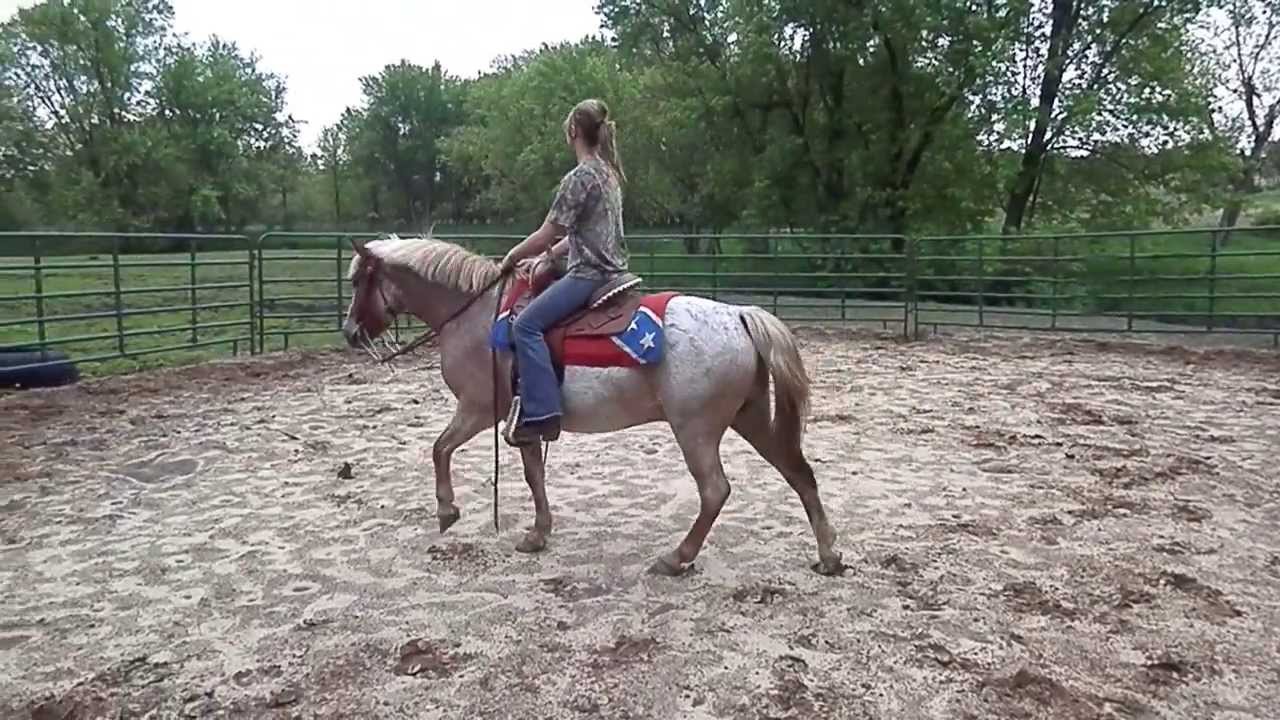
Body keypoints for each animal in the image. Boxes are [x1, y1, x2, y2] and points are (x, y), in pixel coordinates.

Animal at [341, 233, 843, 576]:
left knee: (716, 490)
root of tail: (739, 315)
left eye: (361, 279)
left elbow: (439, 448)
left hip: (696, 429)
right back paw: (828, 555)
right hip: (750, 416)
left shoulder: (478, 409)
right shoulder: (522, 420)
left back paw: (676, 557)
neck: (478, 317)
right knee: (798, 472)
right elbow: (533, 474)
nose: (349, 333)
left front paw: (447, 511)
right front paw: (538, 533)